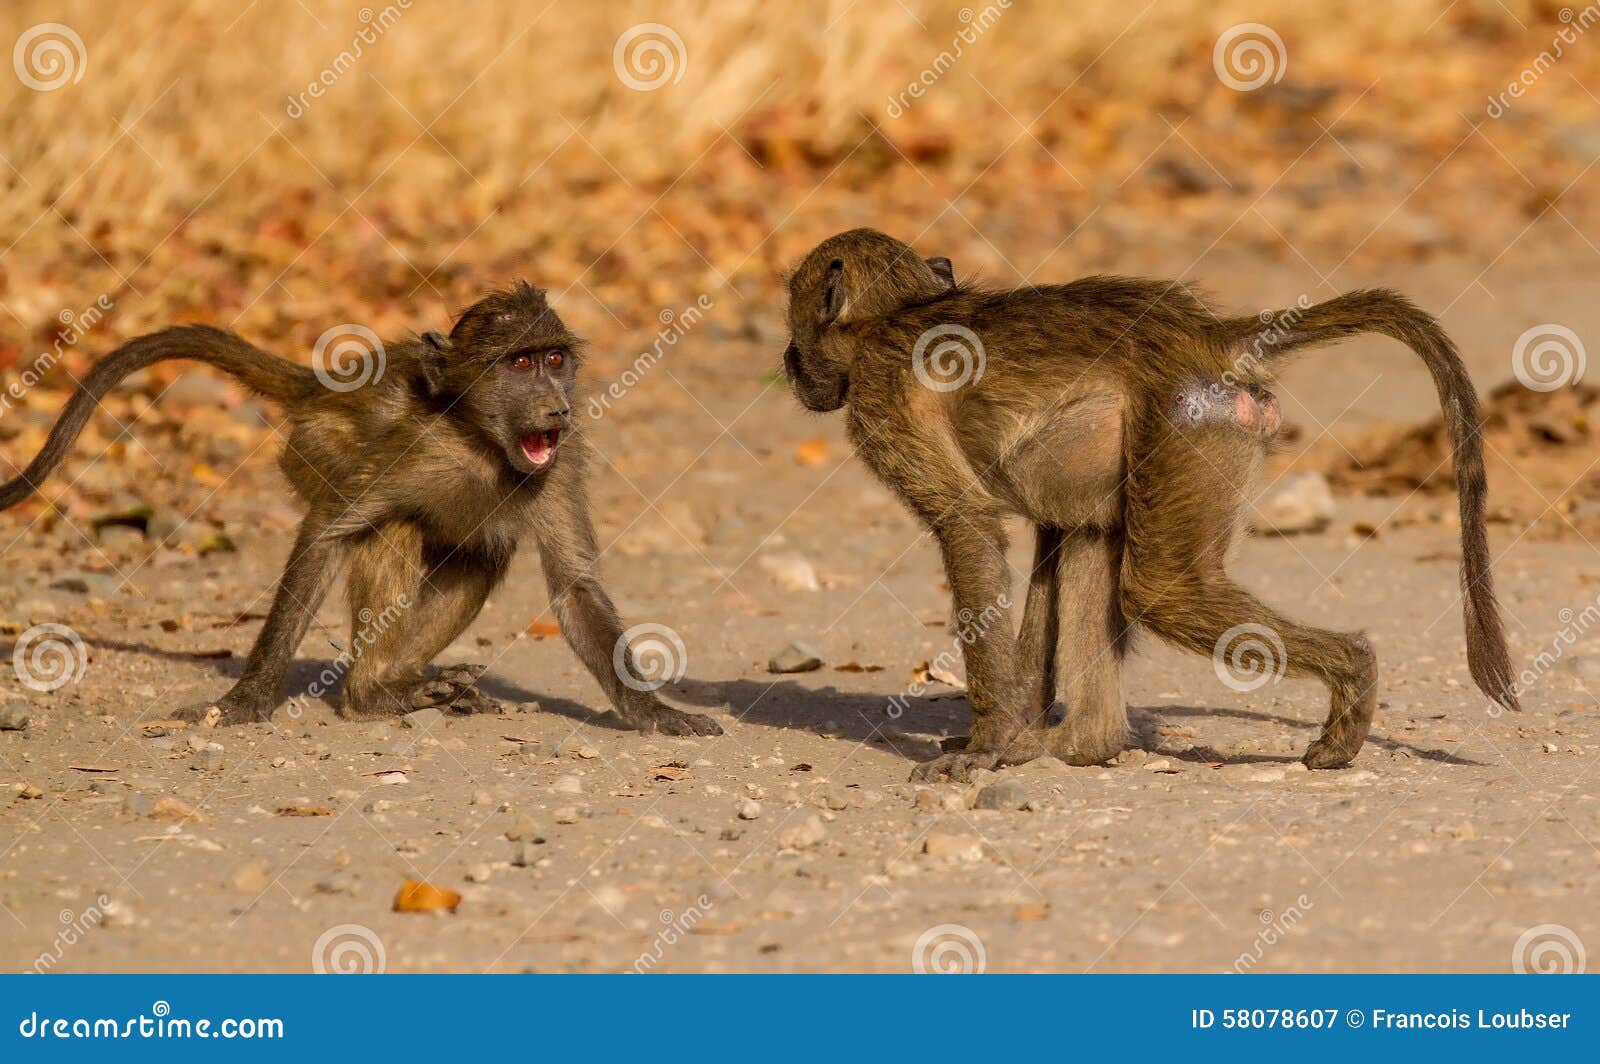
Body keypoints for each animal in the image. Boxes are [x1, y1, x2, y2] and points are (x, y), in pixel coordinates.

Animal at [0, 283, 723, 737]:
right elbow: (329, 534)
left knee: (481, 552)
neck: (479, 440)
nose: (557, 409)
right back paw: (372, 693)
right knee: (392, 529)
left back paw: (412, 678)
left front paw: (654, 712)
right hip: (314, 449)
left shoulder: (562, 460)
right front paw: (244, 702)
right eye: (519, 363)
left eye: (553, 359)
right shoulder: (417, 448)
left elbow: (574, 589)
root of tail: (328, 386)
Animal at [782, 228, 1516, 782]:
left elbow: (967, 524)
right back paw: (1081, 744)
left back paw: (1349, 683)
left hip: (1188, 423)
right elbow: (1054, 537)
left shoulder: (880, 397)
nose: (788, 362)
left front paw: (988, 746)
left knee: (1157, 587)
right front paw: (1010, 734)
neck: (891, 318)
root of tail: (1204, 336)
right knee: (1093, 544)